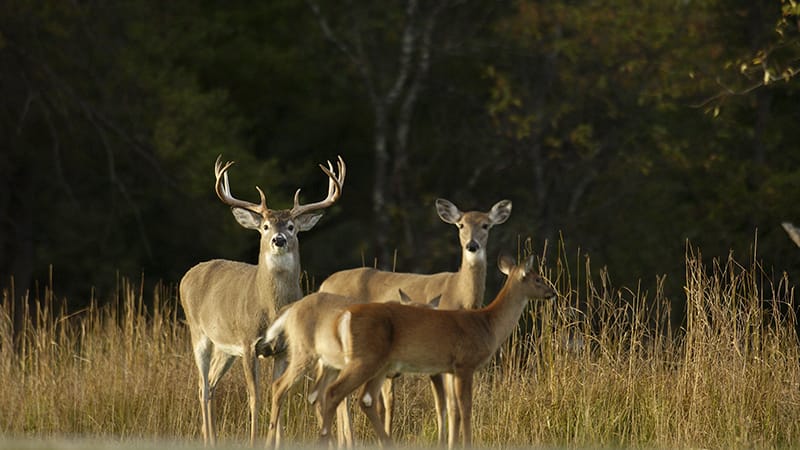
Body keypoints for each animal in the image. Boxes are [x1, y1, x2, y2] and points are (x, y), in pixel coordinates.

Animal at [179, 154, 345, 446]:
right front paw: (254, 439)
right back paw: (208, 439)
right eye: (265, 226)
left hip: (225, 348)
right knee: (202, 387)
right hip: (199, 333)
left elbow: (278, 394)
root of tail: (187, 275)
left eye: (291, 227)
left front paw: (276, 441)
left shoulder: (283, 349)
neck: (272, 309)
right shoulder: (248, 343)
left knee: (211, 382)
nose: (278, 239)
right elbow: (254, 397)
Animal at [269, 252, 556, 448]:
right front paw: (467, 443)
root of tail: (344, 315)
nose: (552, 292)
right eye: (538, 278)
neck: (486, 323)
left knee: (351, 397)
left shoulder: (448, 368)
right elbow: (465, 407)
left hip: (370, 364)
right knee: (330, 392)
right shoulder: (465, 364)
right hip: (361, 360)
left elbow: (451, 407)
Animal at [317, 198, 512, 443]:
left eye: (486, 225)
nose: (472, 245)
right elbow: (449, 405)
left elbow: (447, 405)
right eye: (461, 225)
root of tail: (323, 285)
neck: (460, 295)